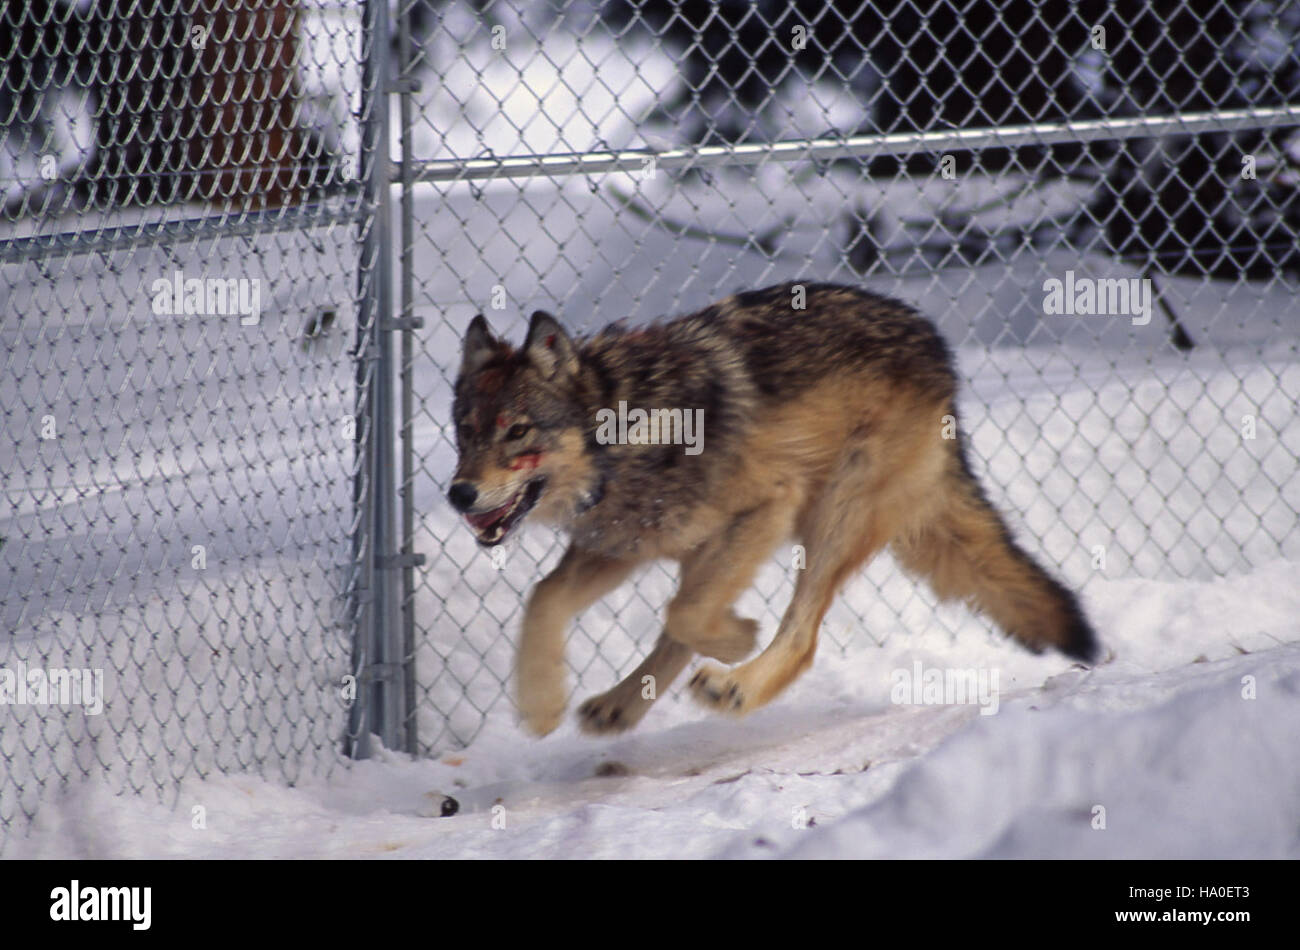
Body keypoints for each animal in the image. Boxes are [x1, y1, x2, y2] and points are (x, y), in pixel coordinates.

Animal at [449, 282, 1098, 736]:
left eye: (517, 432)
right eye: (465, 433)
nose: (458, 494)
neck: (626, 430)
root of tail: (933, 342)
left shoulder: (769, 504)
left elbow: (687, 614)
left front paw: (739, 639)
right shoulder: (623, 543)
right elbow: (546, 600)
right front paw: (540, 708)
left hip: (834, 513)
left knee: (797, 636)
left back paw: (734, 685)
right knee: (681, 627)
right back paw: (620, 707)